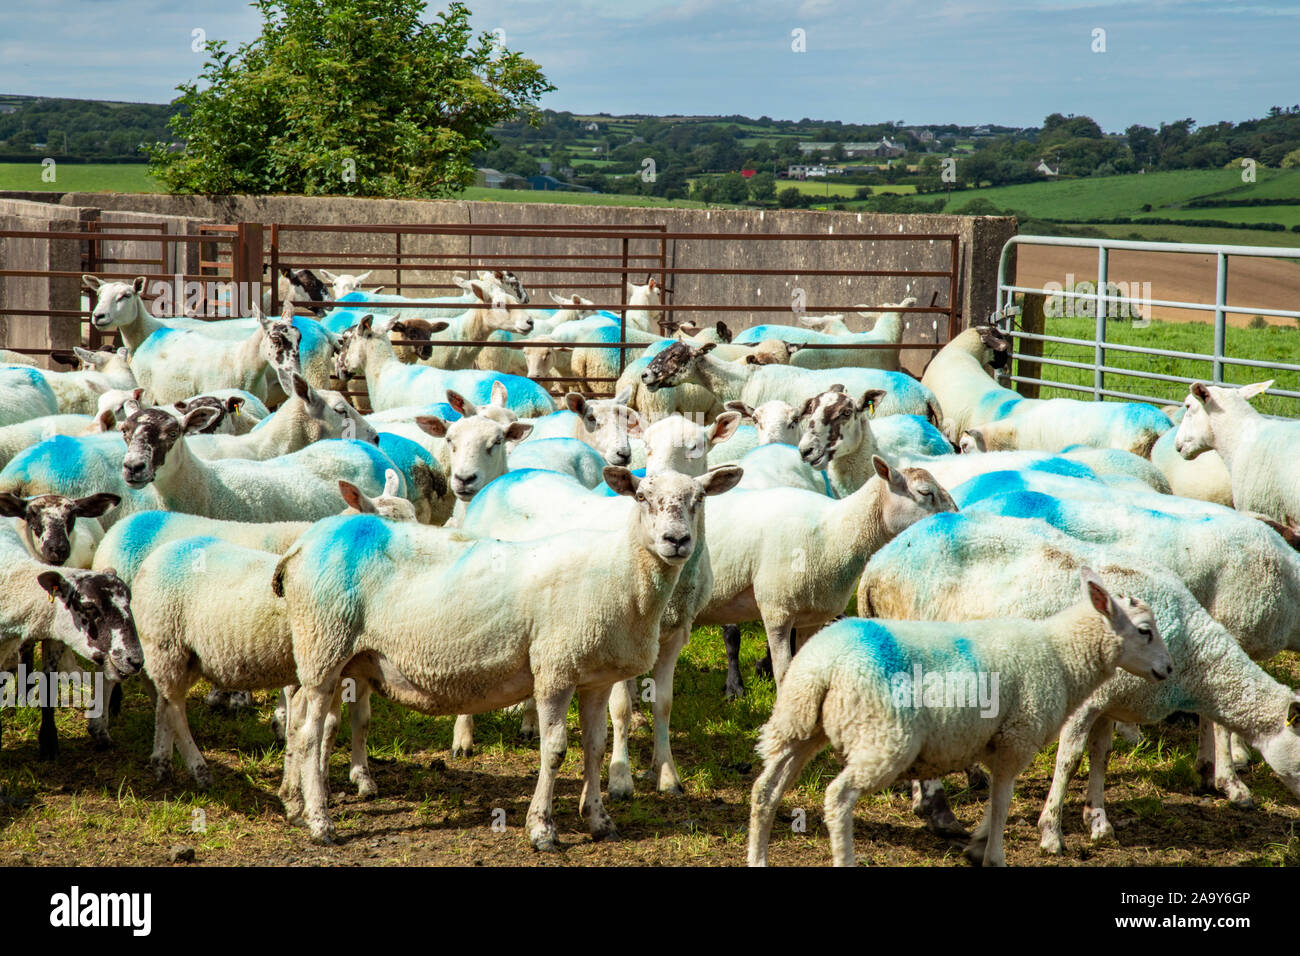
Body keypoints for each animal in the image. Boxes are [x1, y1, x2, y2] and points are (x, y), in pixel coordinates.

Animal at [274, 464, 743, 846]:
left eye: (699, 499)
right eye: (642, 498)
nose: (676, 541)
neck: (621, 574)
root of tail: (304, 543)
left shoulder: (594, 676)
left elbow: (594, 746)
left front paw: (598, 819)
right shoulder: (555, 668)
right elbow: (555, 750)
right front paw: (542, 829)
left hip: (336, 655)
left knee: (305, 725)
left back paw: (300, 804)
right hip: (324, 645)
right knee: (310, 732)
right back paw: (319, 823)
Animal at [749, 569, 1173, 867]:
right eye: (1145, 631)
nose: (1168, 668)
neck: (1059, 654)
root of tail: (824, 667)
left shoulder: (993, 742)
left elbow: (995, 798)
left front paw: (977, 845)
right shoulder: (1017, 737)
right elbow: (1002, 801)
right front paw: (994, 855)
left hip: (797, 724)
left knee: (764, 790)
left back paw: (758, 858)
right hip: (883, 738)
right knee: (837, 797)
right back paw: (844, 858)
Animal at [858, 510, 1300, 853]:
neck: (1192, 656)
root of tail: (879, 561)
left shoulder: (1110, 700)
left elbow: (1100, 755)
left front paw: (1098, 821)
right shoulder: (1085, 701)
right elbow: (1068, 759)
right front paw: (1051, 832)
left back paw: (925, 801)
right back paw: (939, 810)